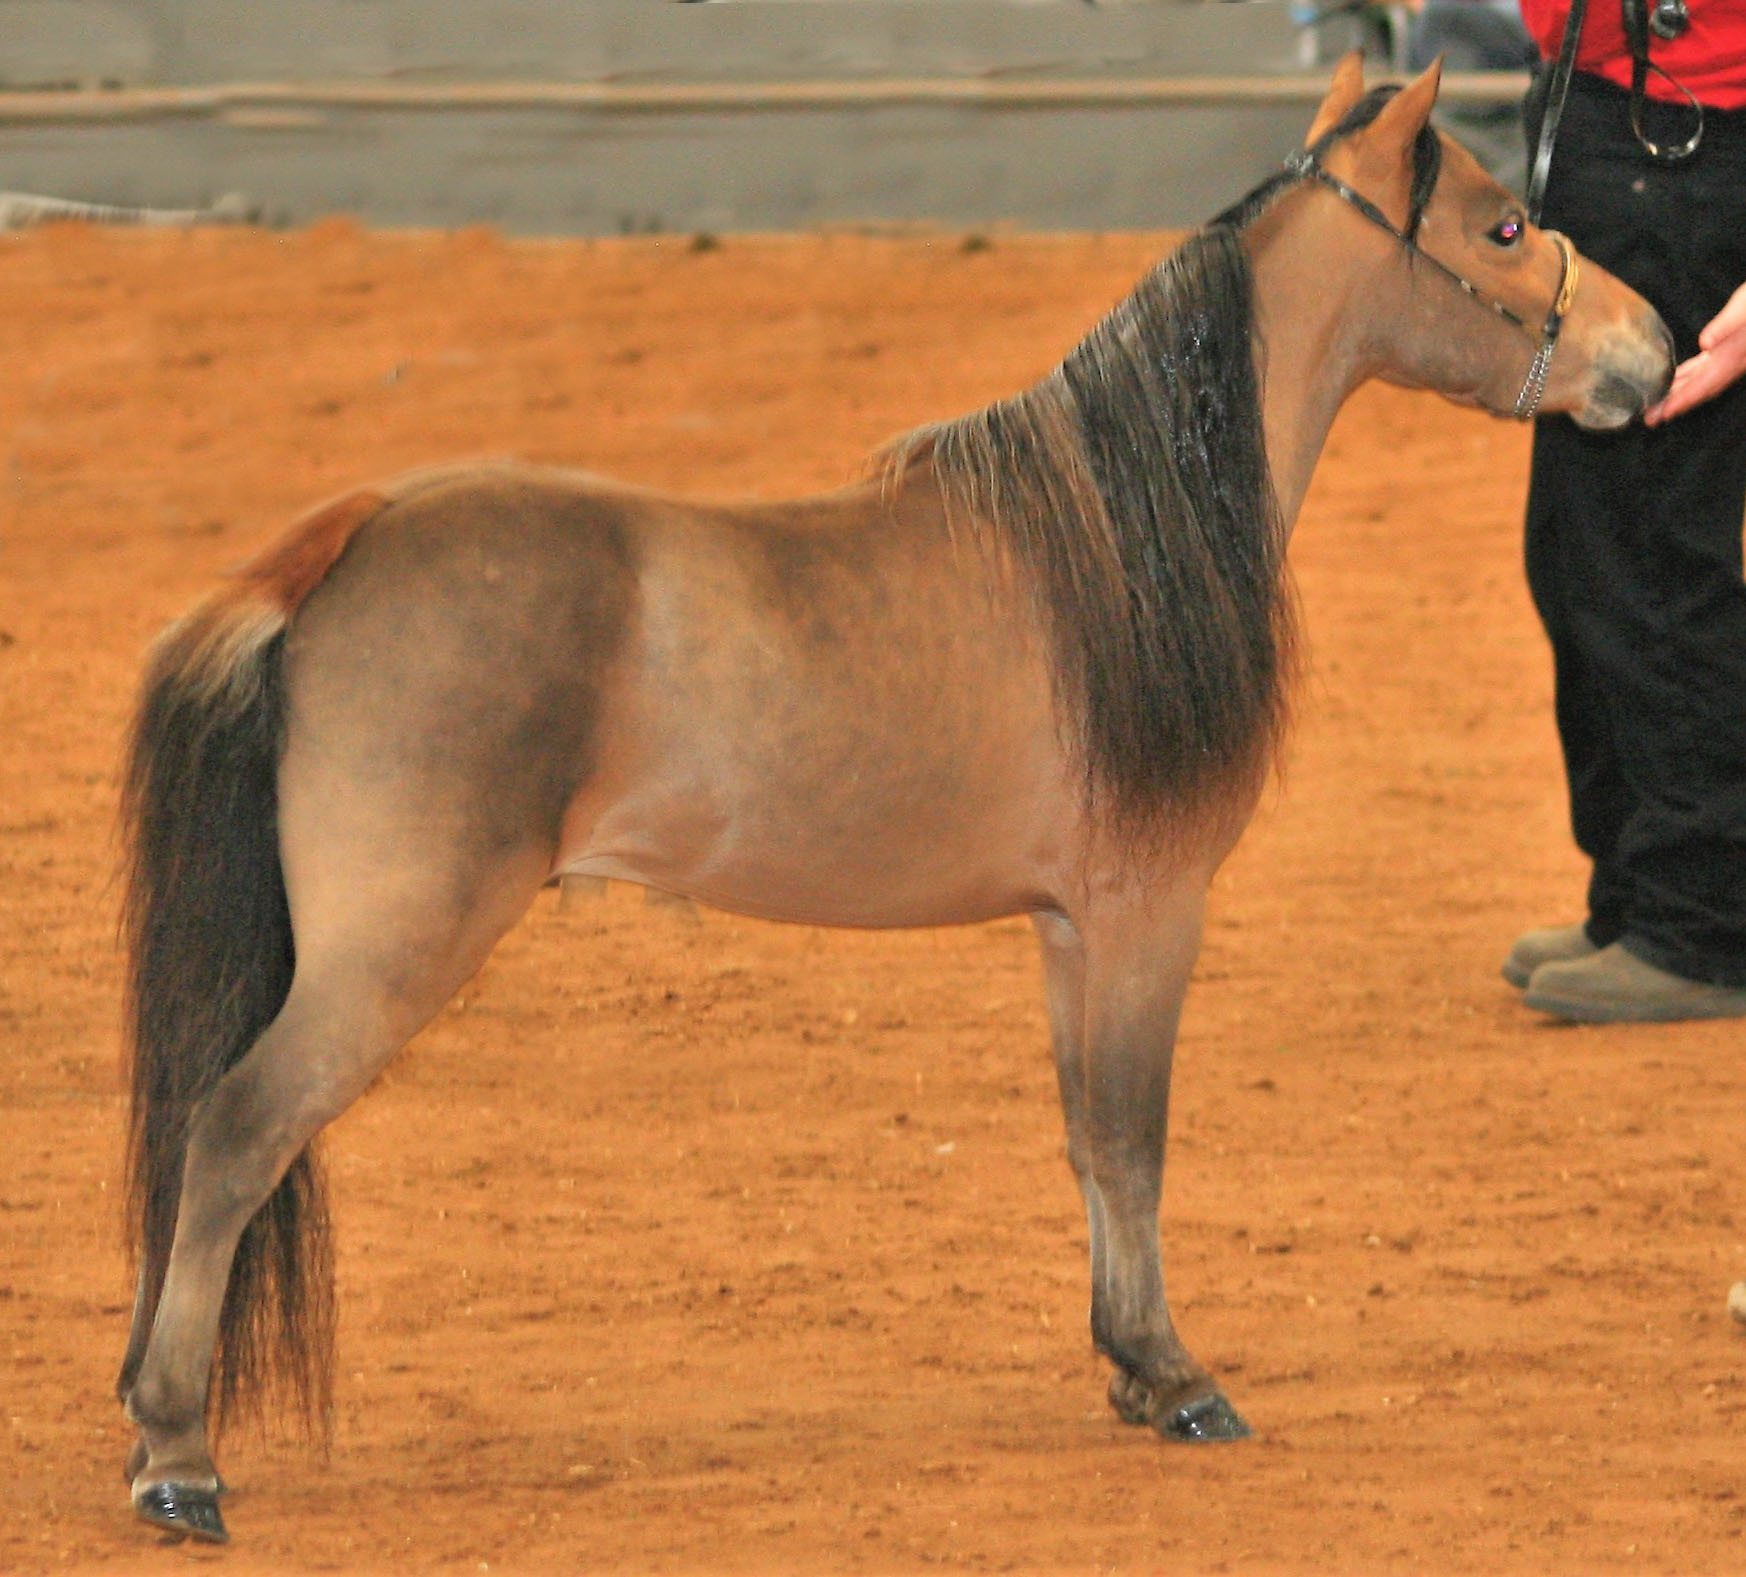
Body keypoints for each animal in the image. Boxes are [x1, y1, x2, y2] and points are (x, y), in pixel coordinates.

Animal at [114, 58, 1674, 1543]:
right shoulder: (1145, 912)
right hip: (391, 949)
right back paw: (179, 1460)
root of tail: (343, 545)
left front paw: (1126, 1360)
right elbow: (1134, 1137)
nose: (1652, 348)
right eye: (1504, 224)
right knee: (234, 1131)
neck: (1115, 539)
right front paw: (1176, 1376)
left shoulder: (1067, 925)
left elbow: (1087, 1138)